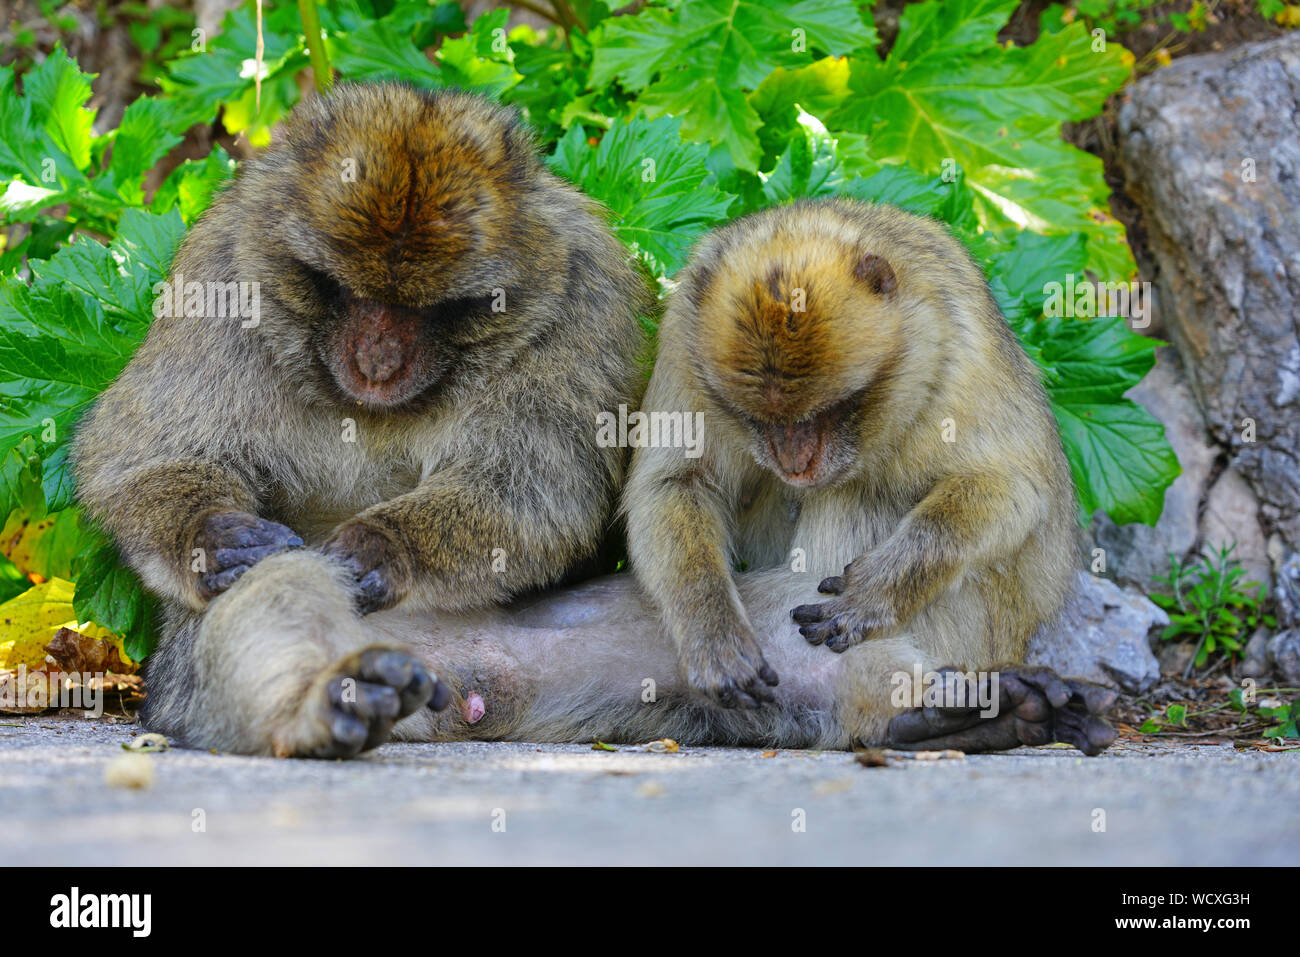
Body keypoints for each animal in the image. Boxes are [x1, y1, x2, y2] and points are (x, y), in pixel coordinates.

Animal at [71, 82, 652, 758]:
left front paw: (381, 547)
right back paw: (324, 707)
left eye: (432, 308)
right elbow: (143, 455)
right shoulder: (221, 270)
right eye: (343, 289)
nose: (377, 363)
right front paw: (214, 538)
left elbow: (540, 491)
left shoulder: (582, 298)